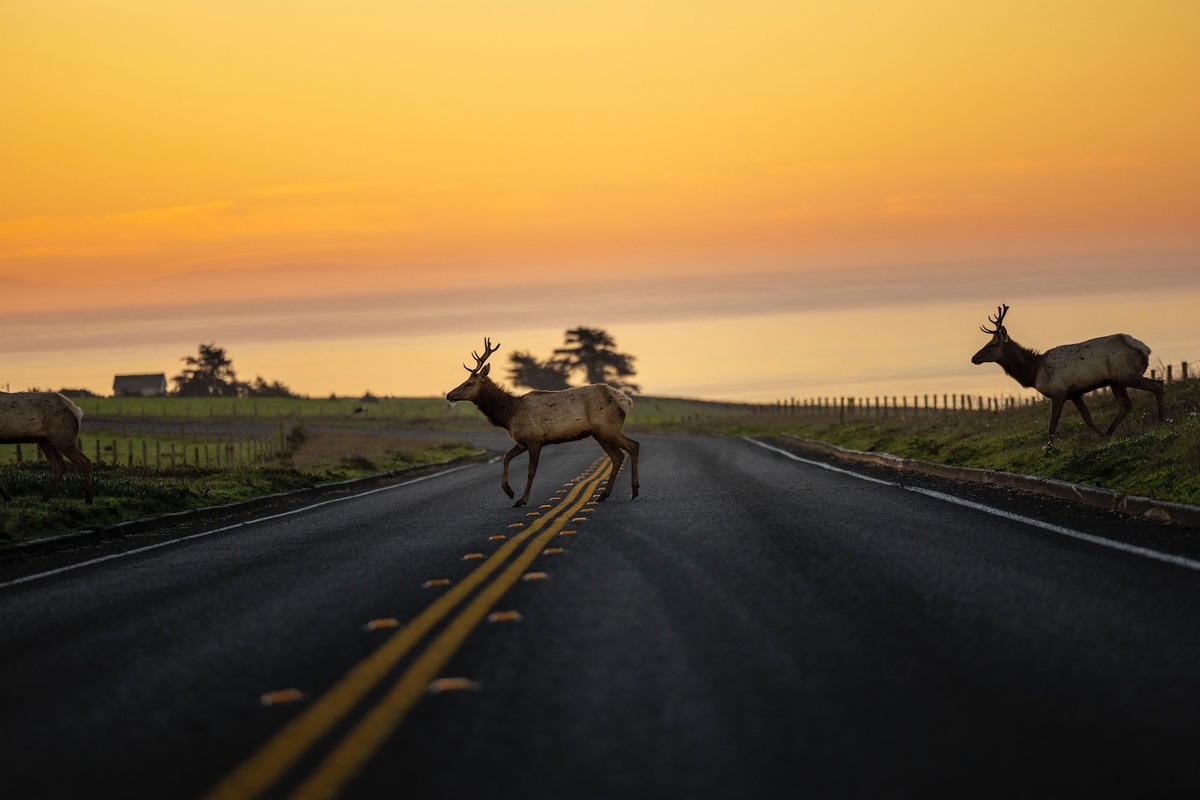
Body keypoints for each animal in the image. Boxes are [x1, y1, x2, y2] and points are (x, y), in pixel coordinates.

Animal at [446, 338, 640, 507]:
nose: (449, 394)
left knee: (633, 446)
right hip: (600, 434)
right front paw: (509, 491)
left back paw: (634, 491)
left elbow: (531, 471)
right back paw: (603, 494)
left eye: (469, 383)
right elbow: (506, 457)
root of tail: (626, 400)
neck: (509, 414)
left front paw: (522, 500)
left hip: (608, 428)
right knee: (617, 456)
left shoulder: (535, 440)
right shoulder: (522, 441)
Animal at [970, 304, 1165, 452]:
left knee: (1158, 385)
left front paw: (1048, 450)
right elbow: (1087, 418)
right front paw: (1102, 437)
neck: (1033, 372)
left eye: (992, 344)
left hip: (1127, 374)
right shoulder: (1074, 393)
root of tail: (1144, 349)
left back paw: (1162, 421)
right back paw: (1110, 432)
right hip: (1115, 381)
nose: (974, 358)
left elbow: (1052, 423)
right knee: (1126, 405)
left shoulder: (1059, 392)